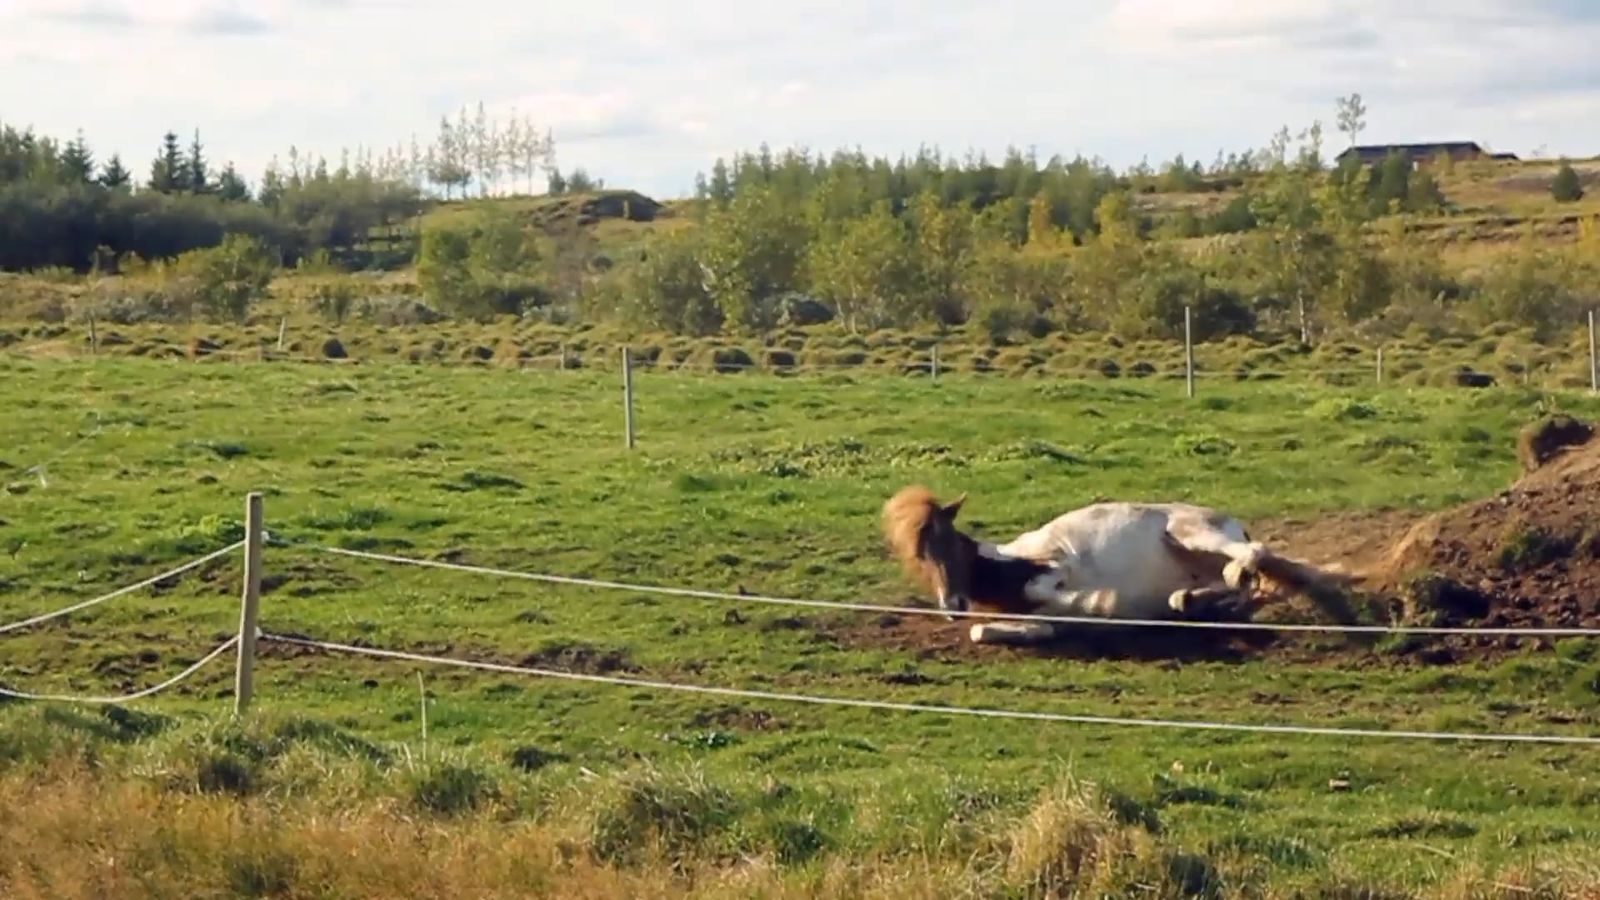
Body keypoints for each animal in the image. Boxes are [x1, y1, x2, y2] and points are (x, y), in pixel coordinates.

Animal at [881, 484, 1357, 646]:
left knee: (1250, 559)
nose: (953, 605)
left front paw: (1099, 604)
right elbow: (990, 631)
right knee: (1238, 589)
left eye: (948, 542)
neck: (1009, 565)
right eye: (921, 556)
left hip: (1190, 534)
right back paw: (1190, 600)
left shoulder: (1058, 564)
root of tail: (1233, 523)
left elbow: (1066, 591)